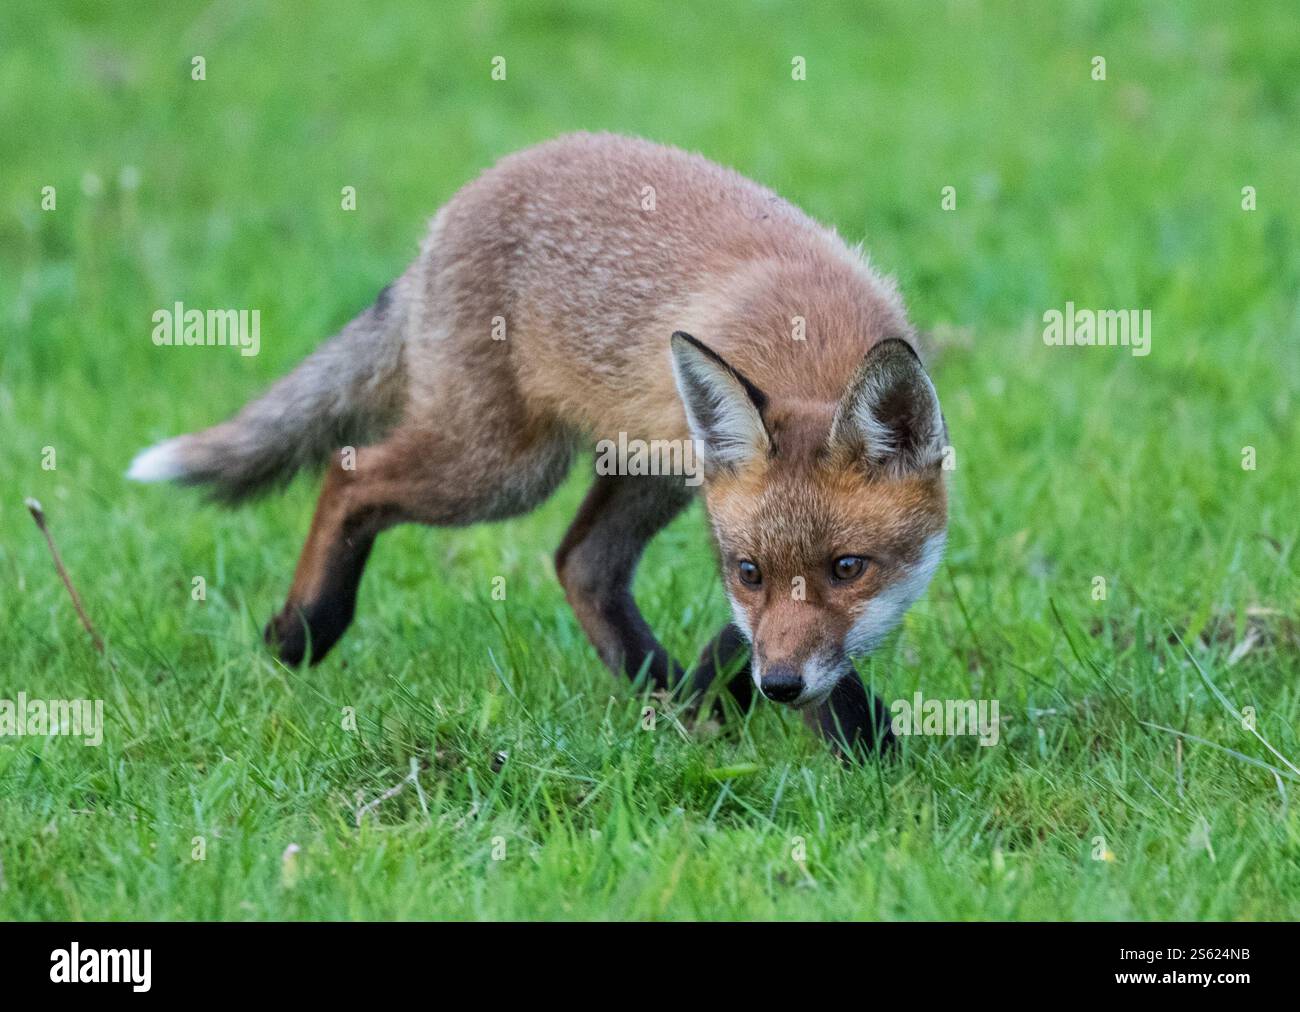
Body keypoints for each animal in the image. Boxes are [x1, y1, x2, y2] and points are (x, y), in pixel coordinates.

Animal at [128, 132, 949, 756]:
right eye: (749, 571)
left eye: (848, 568)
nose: (777, 687)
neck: (809, 350)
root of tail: (459, 204)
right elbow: (813, 673)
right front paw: (868, 762)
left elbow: (762, 642)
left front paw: (728, 691)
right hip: (503, 470)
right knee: (350, 474)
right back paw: (304, 630)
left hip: (648, 466)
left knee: (579, 563)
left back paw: (664, 692)